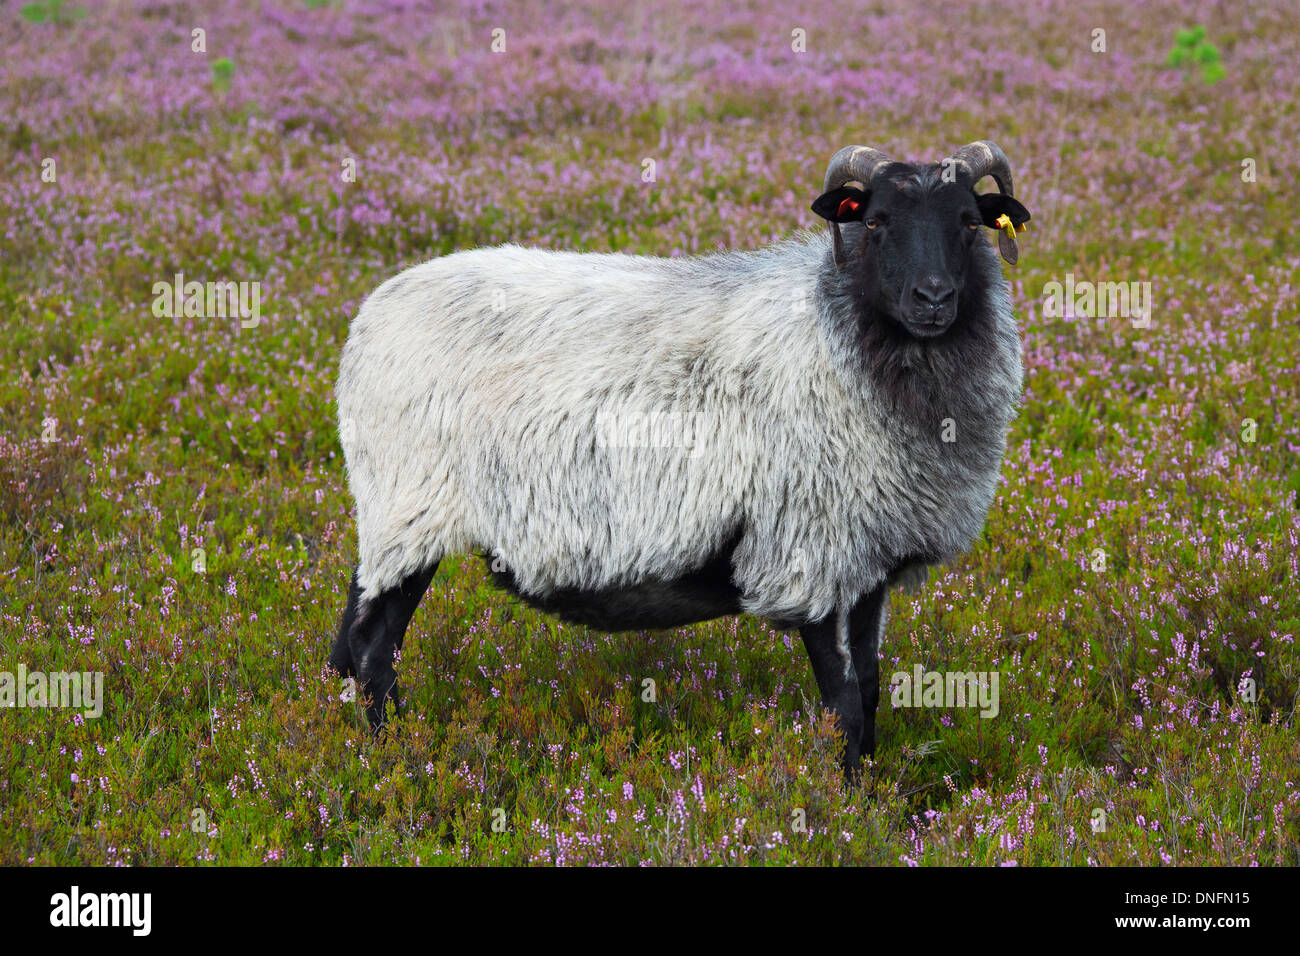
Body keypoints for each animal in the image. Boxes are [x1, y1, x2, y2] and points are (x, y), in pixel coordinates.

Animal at [329, 140, 1031, 775]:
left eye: (968, 221)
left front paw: (872, 792)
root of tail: (370, 314)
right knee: (371, 649)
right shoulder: (808, 552)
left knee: (349, 637)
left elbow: (873, 690)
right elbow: (845, 705)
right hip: (411, 503)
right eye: (876, 220)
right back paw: (393, 758)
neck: (846, 337)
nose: (932, 300)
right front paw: (847, 805)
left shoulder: (868, 565)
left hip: (390, 512)